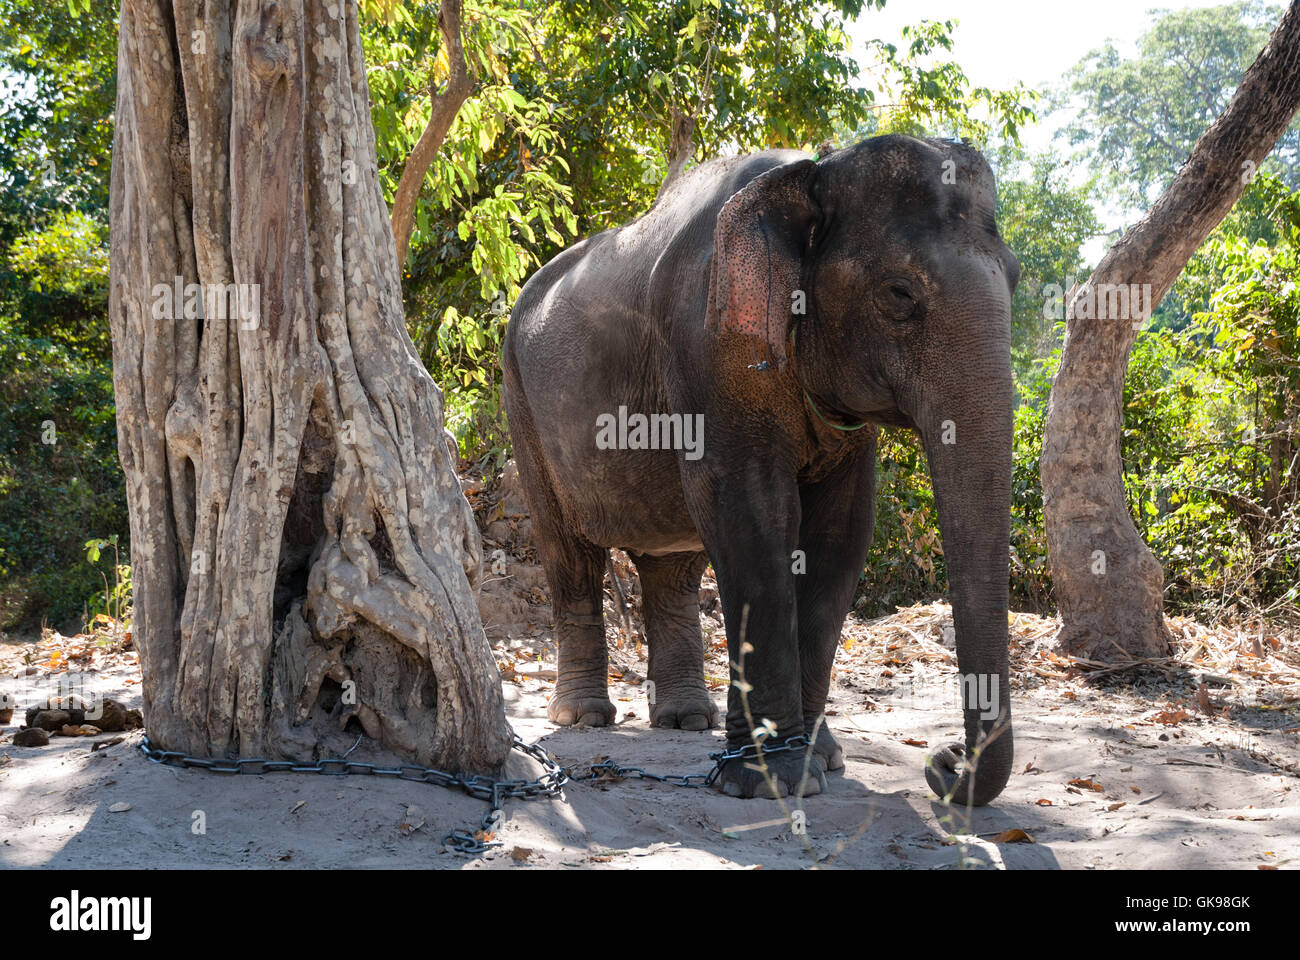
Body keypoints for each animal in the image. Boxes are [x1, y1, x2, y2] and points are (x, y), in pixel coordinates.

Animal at [502, 134, 1019, 805]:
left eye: (1015, 279)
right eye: (900, 296)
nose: (945, 761)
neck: (811, 171)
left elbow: (841, 534)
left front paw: (821, 760)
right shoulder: (706, 341)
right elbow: (749, 510)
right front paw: (770, 779)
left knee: (673, 566)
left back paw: (687, 720)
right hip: (520, 400)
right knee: (568, 551)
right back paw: (585, 718)